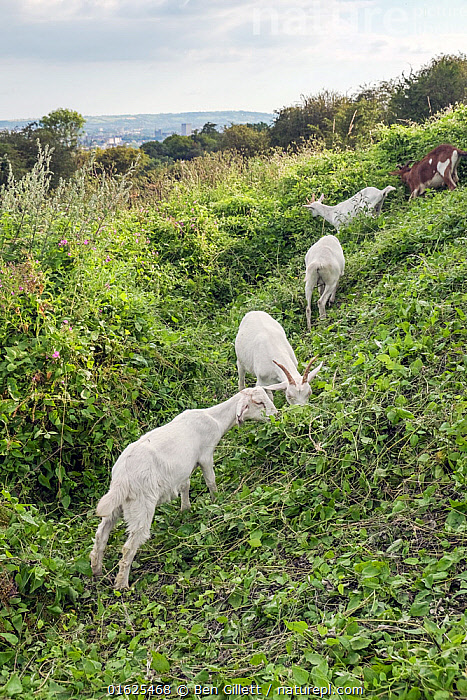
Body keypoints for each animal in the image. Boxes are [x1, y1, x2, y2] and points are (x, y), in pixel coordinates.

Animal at [90, 387, 277, 589]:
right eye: (259, 402)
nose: (276, 415)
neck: (214, 418)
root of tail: (122, 478)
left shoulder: (184, 469)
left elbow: (185, 486)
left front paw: (185, 510)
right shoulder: (205, 456)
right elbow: (210, 481)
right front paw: (217, 501)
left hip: (116, 505)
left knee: (101, 535)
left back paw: (97, 571)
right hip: (141, 505)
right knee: (129, 546)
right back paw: (122, 584)